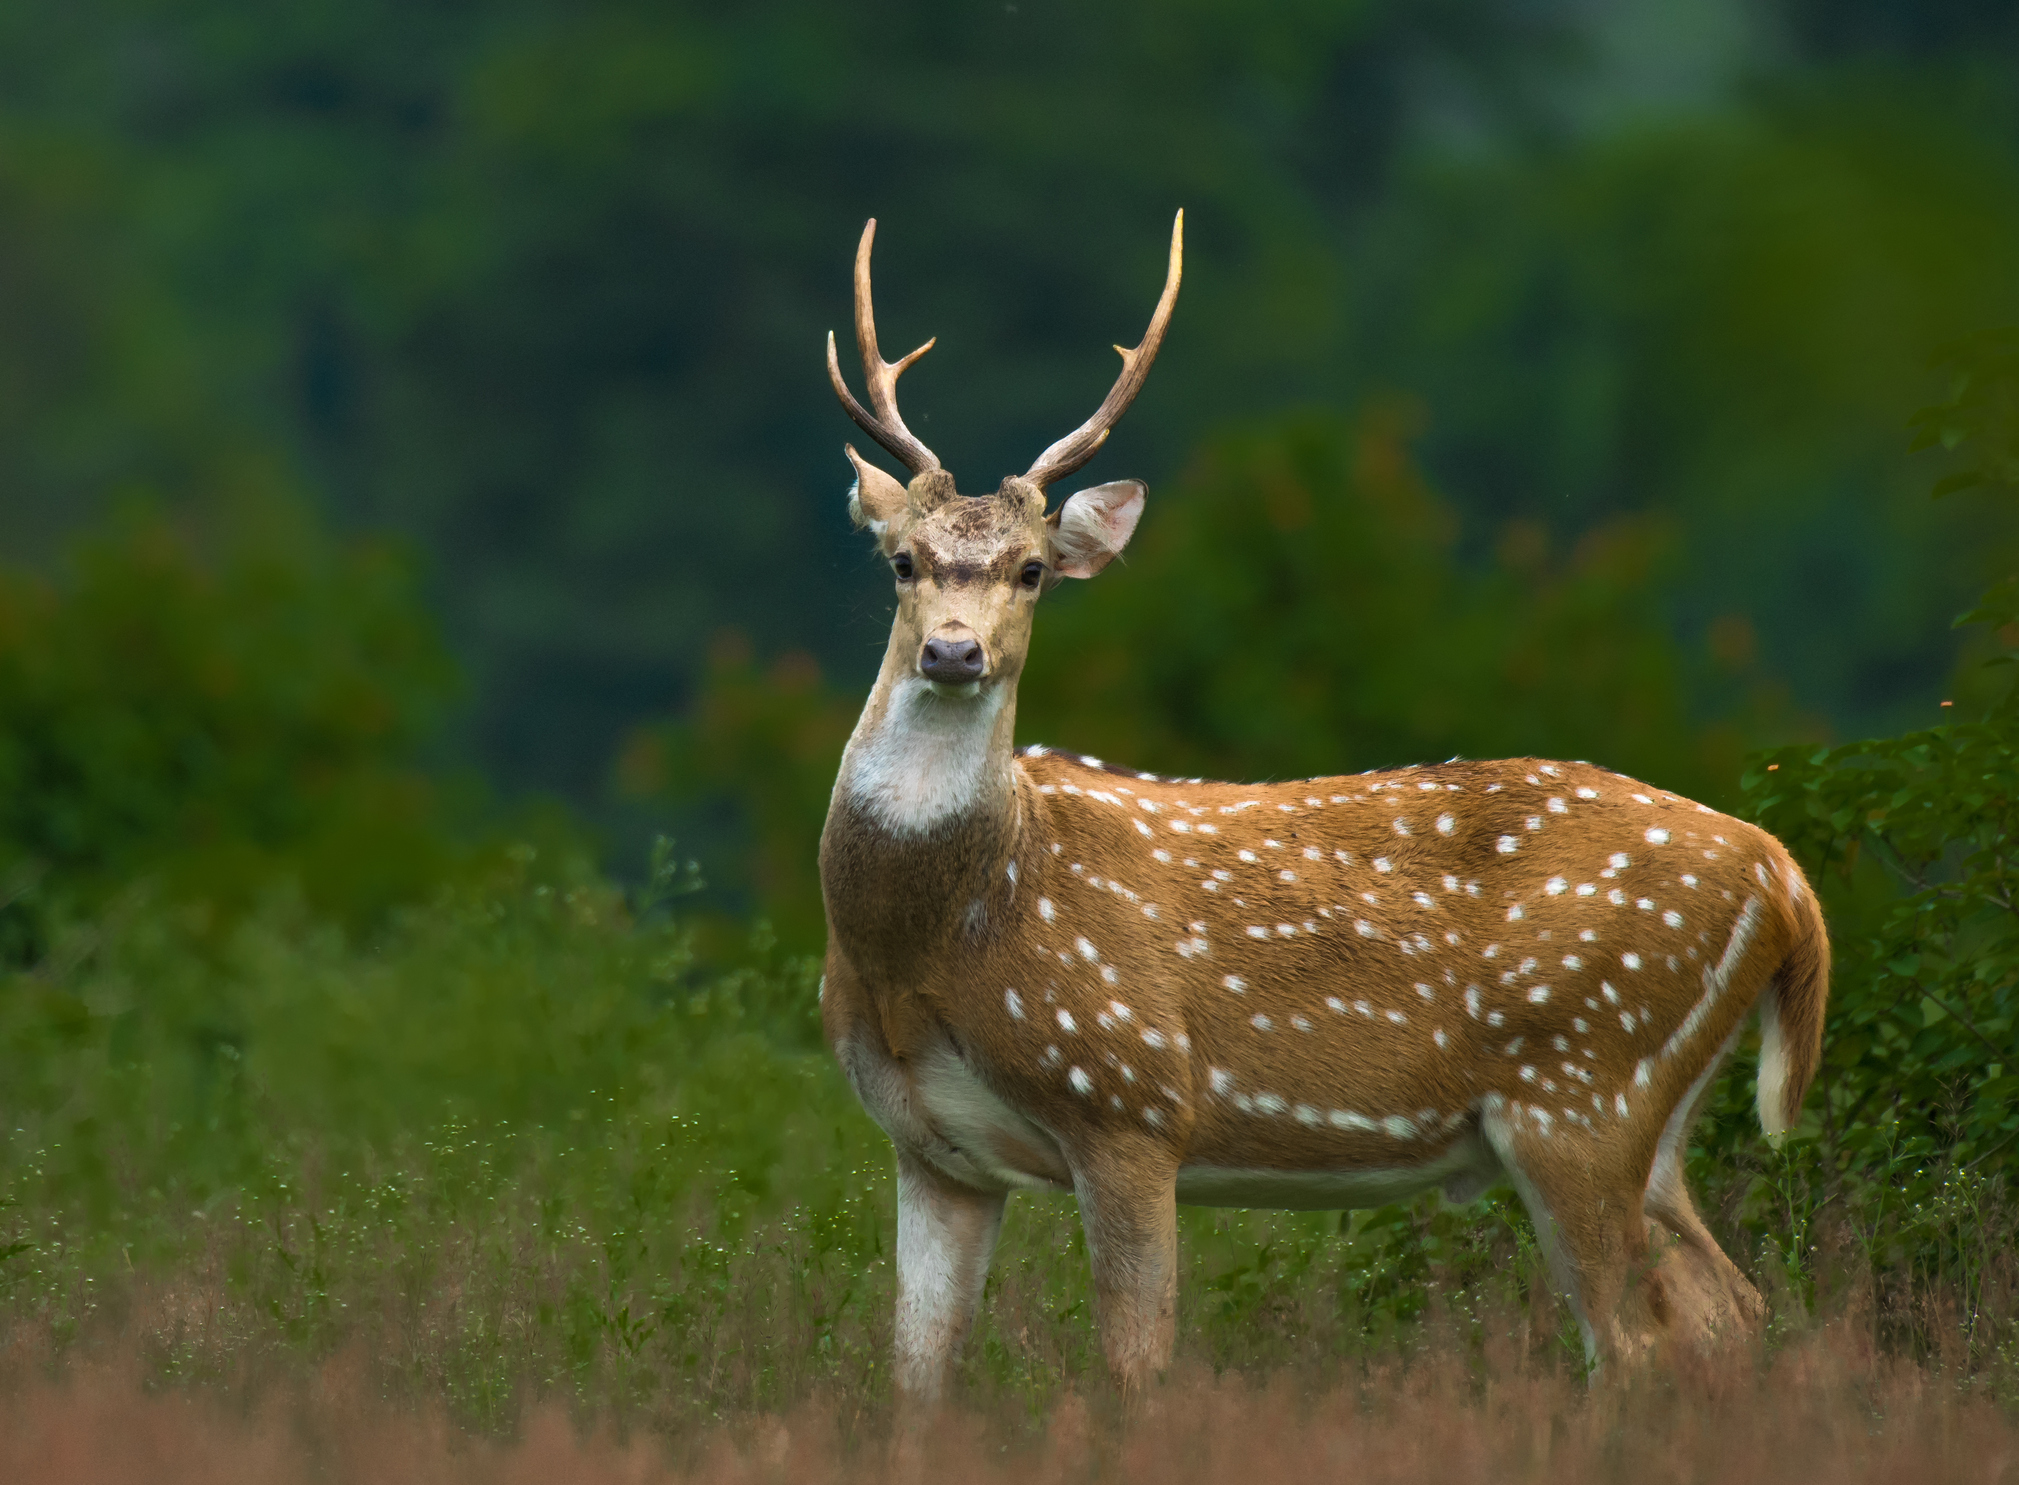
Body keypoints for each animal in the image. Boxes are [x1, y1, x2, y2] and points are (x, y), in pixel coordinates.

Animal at [816, 209, 1831, 1409]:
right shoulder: (931, 1151)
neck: (938, 942)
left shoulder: (1130, 1099)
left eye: (1030, 570)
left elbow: (1134, 1369)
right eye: (902, 560)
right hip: (1651, 1119)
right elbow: (915, 1386)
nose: (953, 652)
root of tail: (1784, 876)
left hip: (1582, 1084)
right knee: (1733, 1311)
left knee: (1633, 1341)